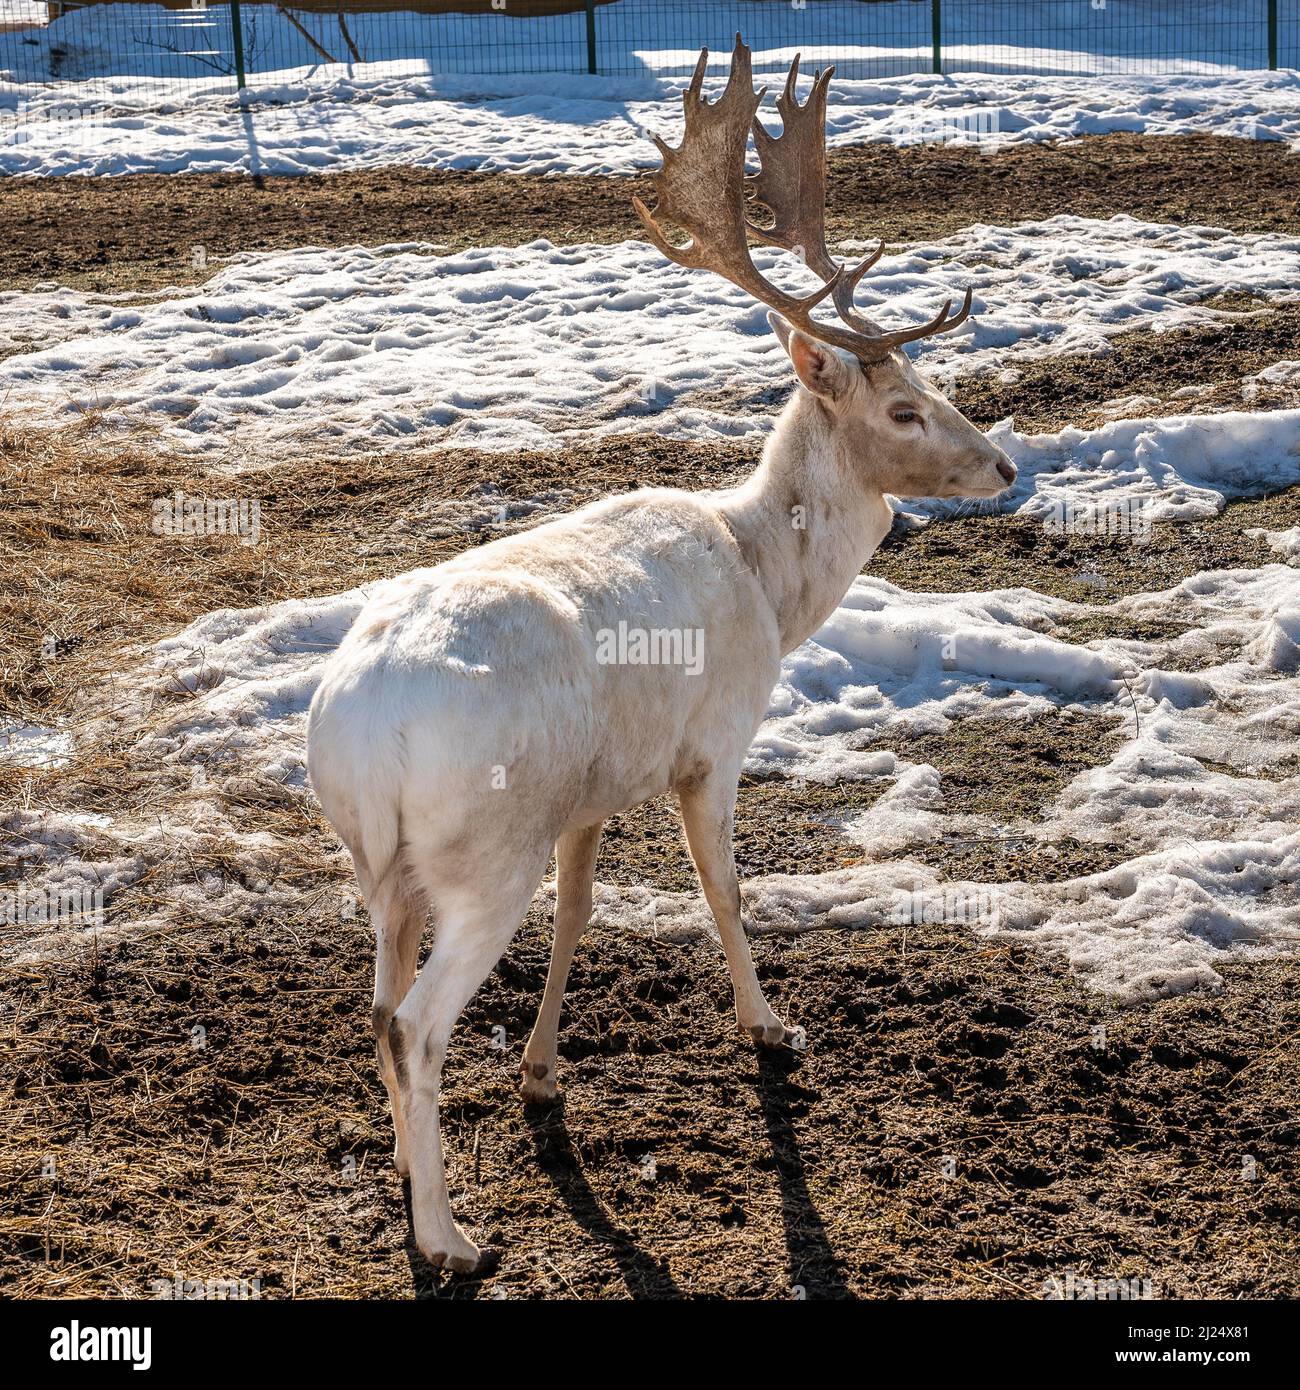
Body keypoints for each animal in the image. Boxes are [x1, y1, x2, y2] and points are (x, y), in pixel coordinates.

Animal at [307, 36, 1015, 1274]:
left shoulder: (591, 792)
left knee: (377, 1005)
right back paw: (450, 1236)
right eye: (902, 407)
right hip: (481, 854)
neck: (771, 584)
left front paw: (544, 1074)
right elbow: (724, 886)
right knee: (416, 1024)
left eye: (932, 389)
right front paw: (771, 1027)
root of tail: (359, 734)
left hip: (380, 863)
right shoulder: (709, 743)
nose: (1005, 466)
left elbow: (584, 911)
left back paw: (406, 1172)